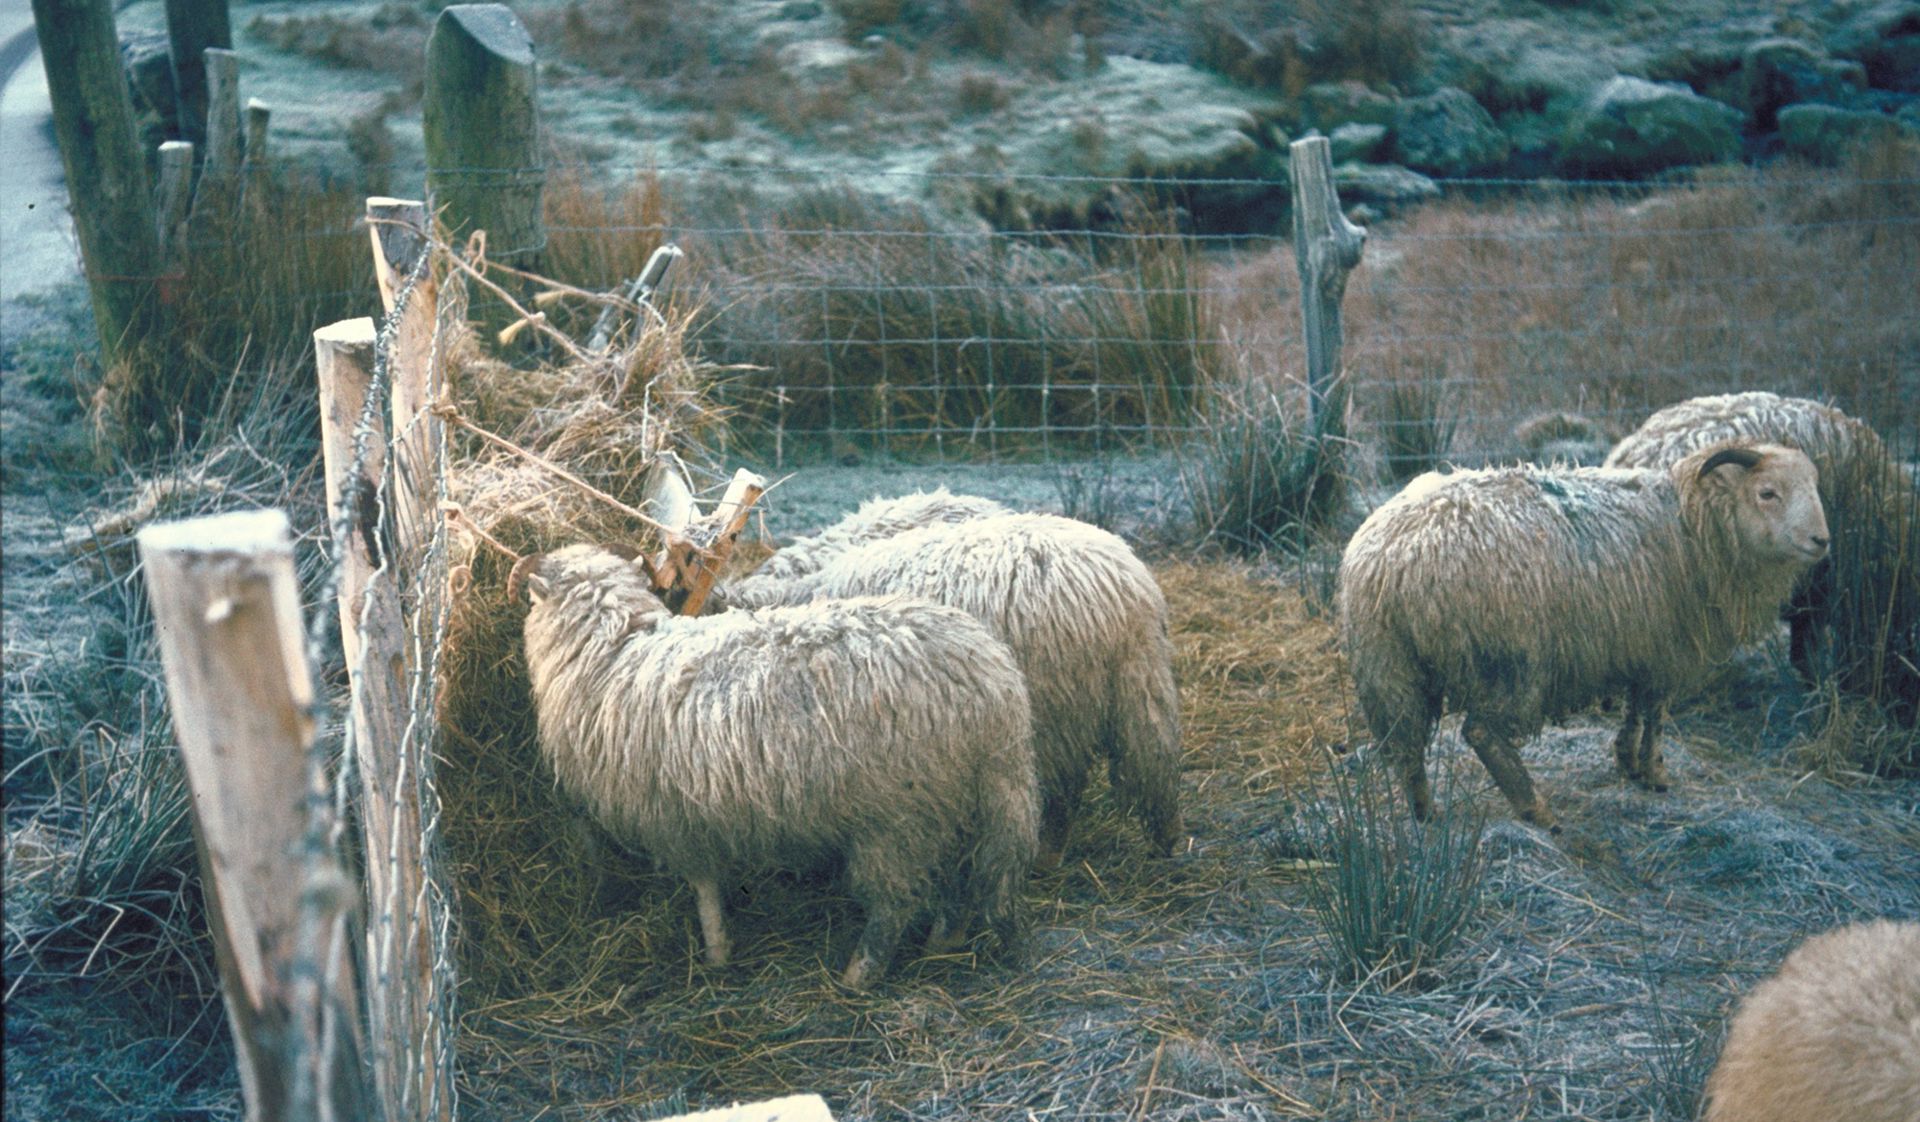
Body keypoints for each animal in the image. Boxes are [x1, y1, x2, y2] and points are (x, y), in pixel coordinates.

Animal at [517, 544, 1040, 988]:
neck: (615, 646)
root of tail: (994, 684)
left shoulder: (675, 818)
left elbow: (704, 889)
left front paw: (717, 954)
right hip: (958, 799)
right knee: (960, 879)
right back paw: (943, 943)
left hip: (900, 816)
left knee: (896, 902)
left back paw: (858, 975)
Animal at [729, 512, 1184, 865]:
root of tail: (1127, 592)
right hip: (1141, 682)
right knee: (1157, 760)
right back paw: (1166, 839)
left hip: (1058, 704)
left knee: (1063, 788)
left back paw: (1047, 856)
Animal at [1338, 441, 1829, 829]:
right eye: (1767, 493)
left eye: (1815, 488)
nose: (1822, 541)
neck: (1693, 524)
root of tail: (1391, 560)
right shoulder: (1669, 649)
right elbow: (1655, 713)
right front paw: (1654, 773)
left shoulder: (1640, 646)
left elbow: (1635, 707)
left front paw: (1627, 760)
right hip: (1509, 658)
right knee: (1483, 733)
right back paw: (1535, 809)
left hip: (1389, 665)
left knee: (1405, 742)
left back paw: (1425, 812)